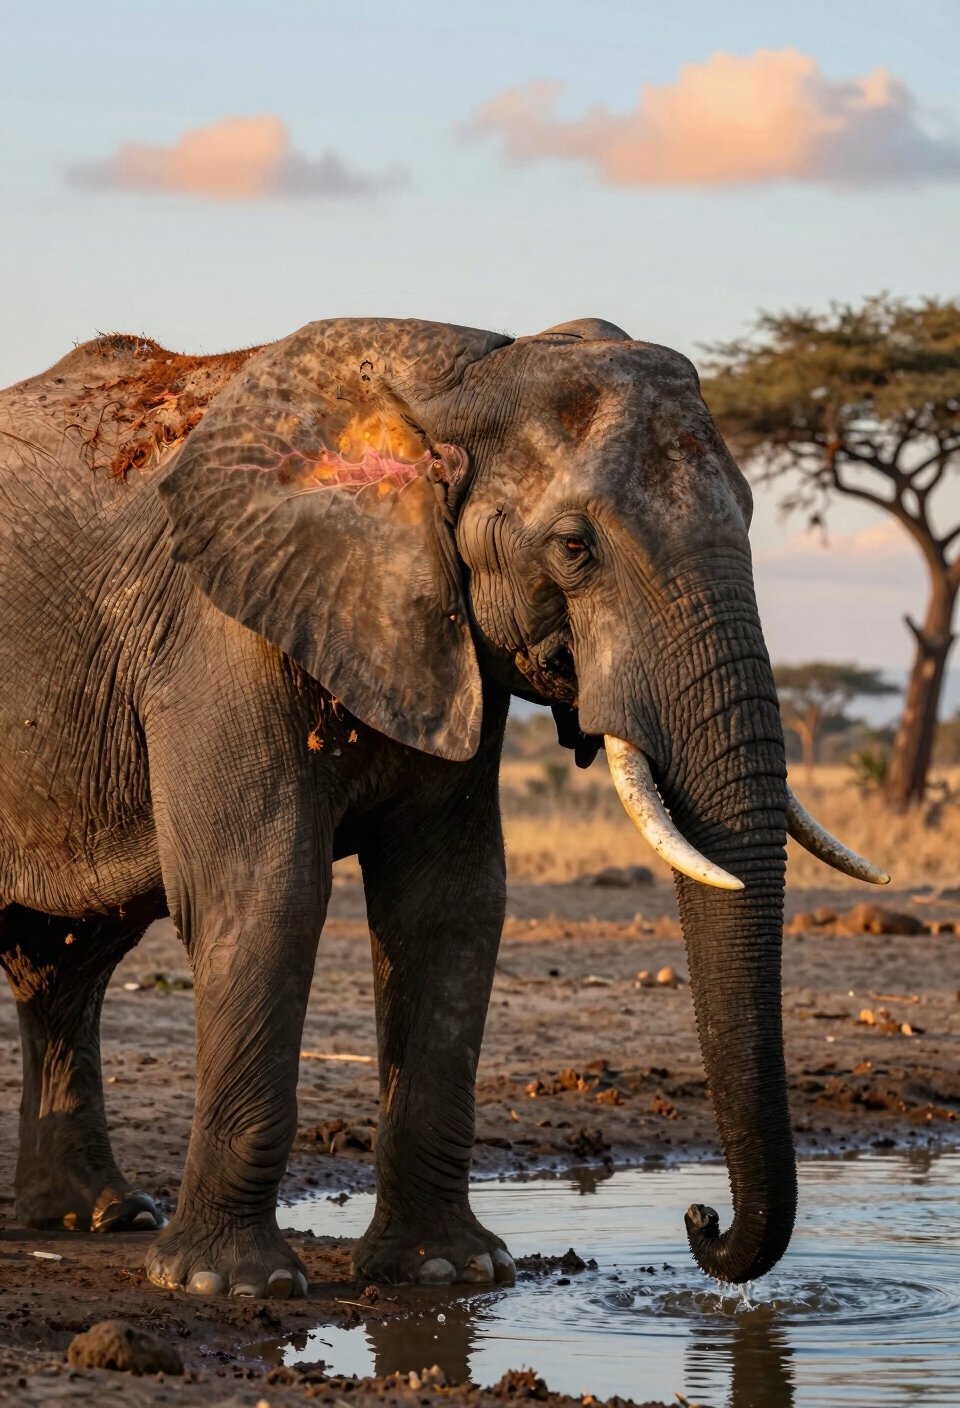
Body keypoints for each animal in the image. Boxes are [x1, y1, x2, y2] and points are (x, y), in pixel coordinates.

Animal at [0, 315, 887, 1297]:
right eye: (574, 548)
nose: (700, 1217)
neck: (457, 377)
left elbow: (450, 906)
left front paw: (448, 1274)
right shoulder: (218, 633)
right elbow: (264, 893)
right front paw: (228, 1286)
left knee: (69, 961)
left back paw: (95, 1218)